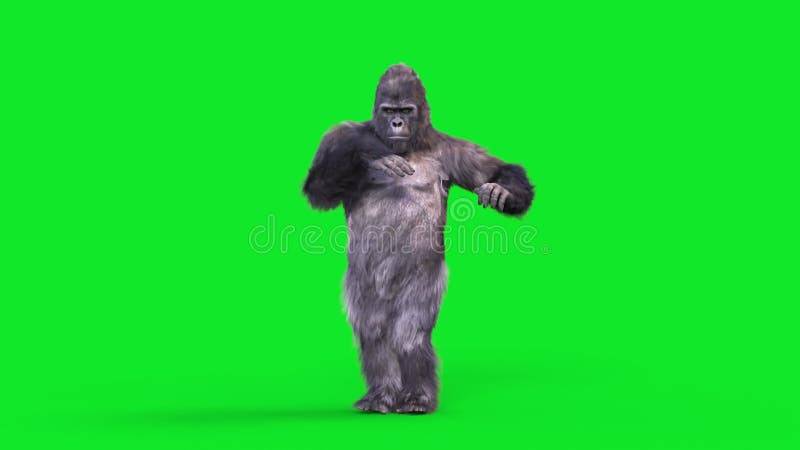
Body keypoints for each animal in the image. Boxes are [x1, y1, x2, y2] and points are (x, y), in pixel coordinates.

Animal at [302, 64, 534, 413]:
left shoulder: (454, 150)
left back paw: (416, 397)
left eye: (406, 111)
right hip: (360, 282)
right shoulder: (334, 140)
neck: (411, 145)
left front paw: (500, 191)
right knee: (373, 329)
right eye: (389, 111)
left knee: (407, 333)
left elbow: (495, 171)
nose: (397, 123)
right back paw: (381, 395)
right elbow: (319, 185)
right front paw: (364, 153)